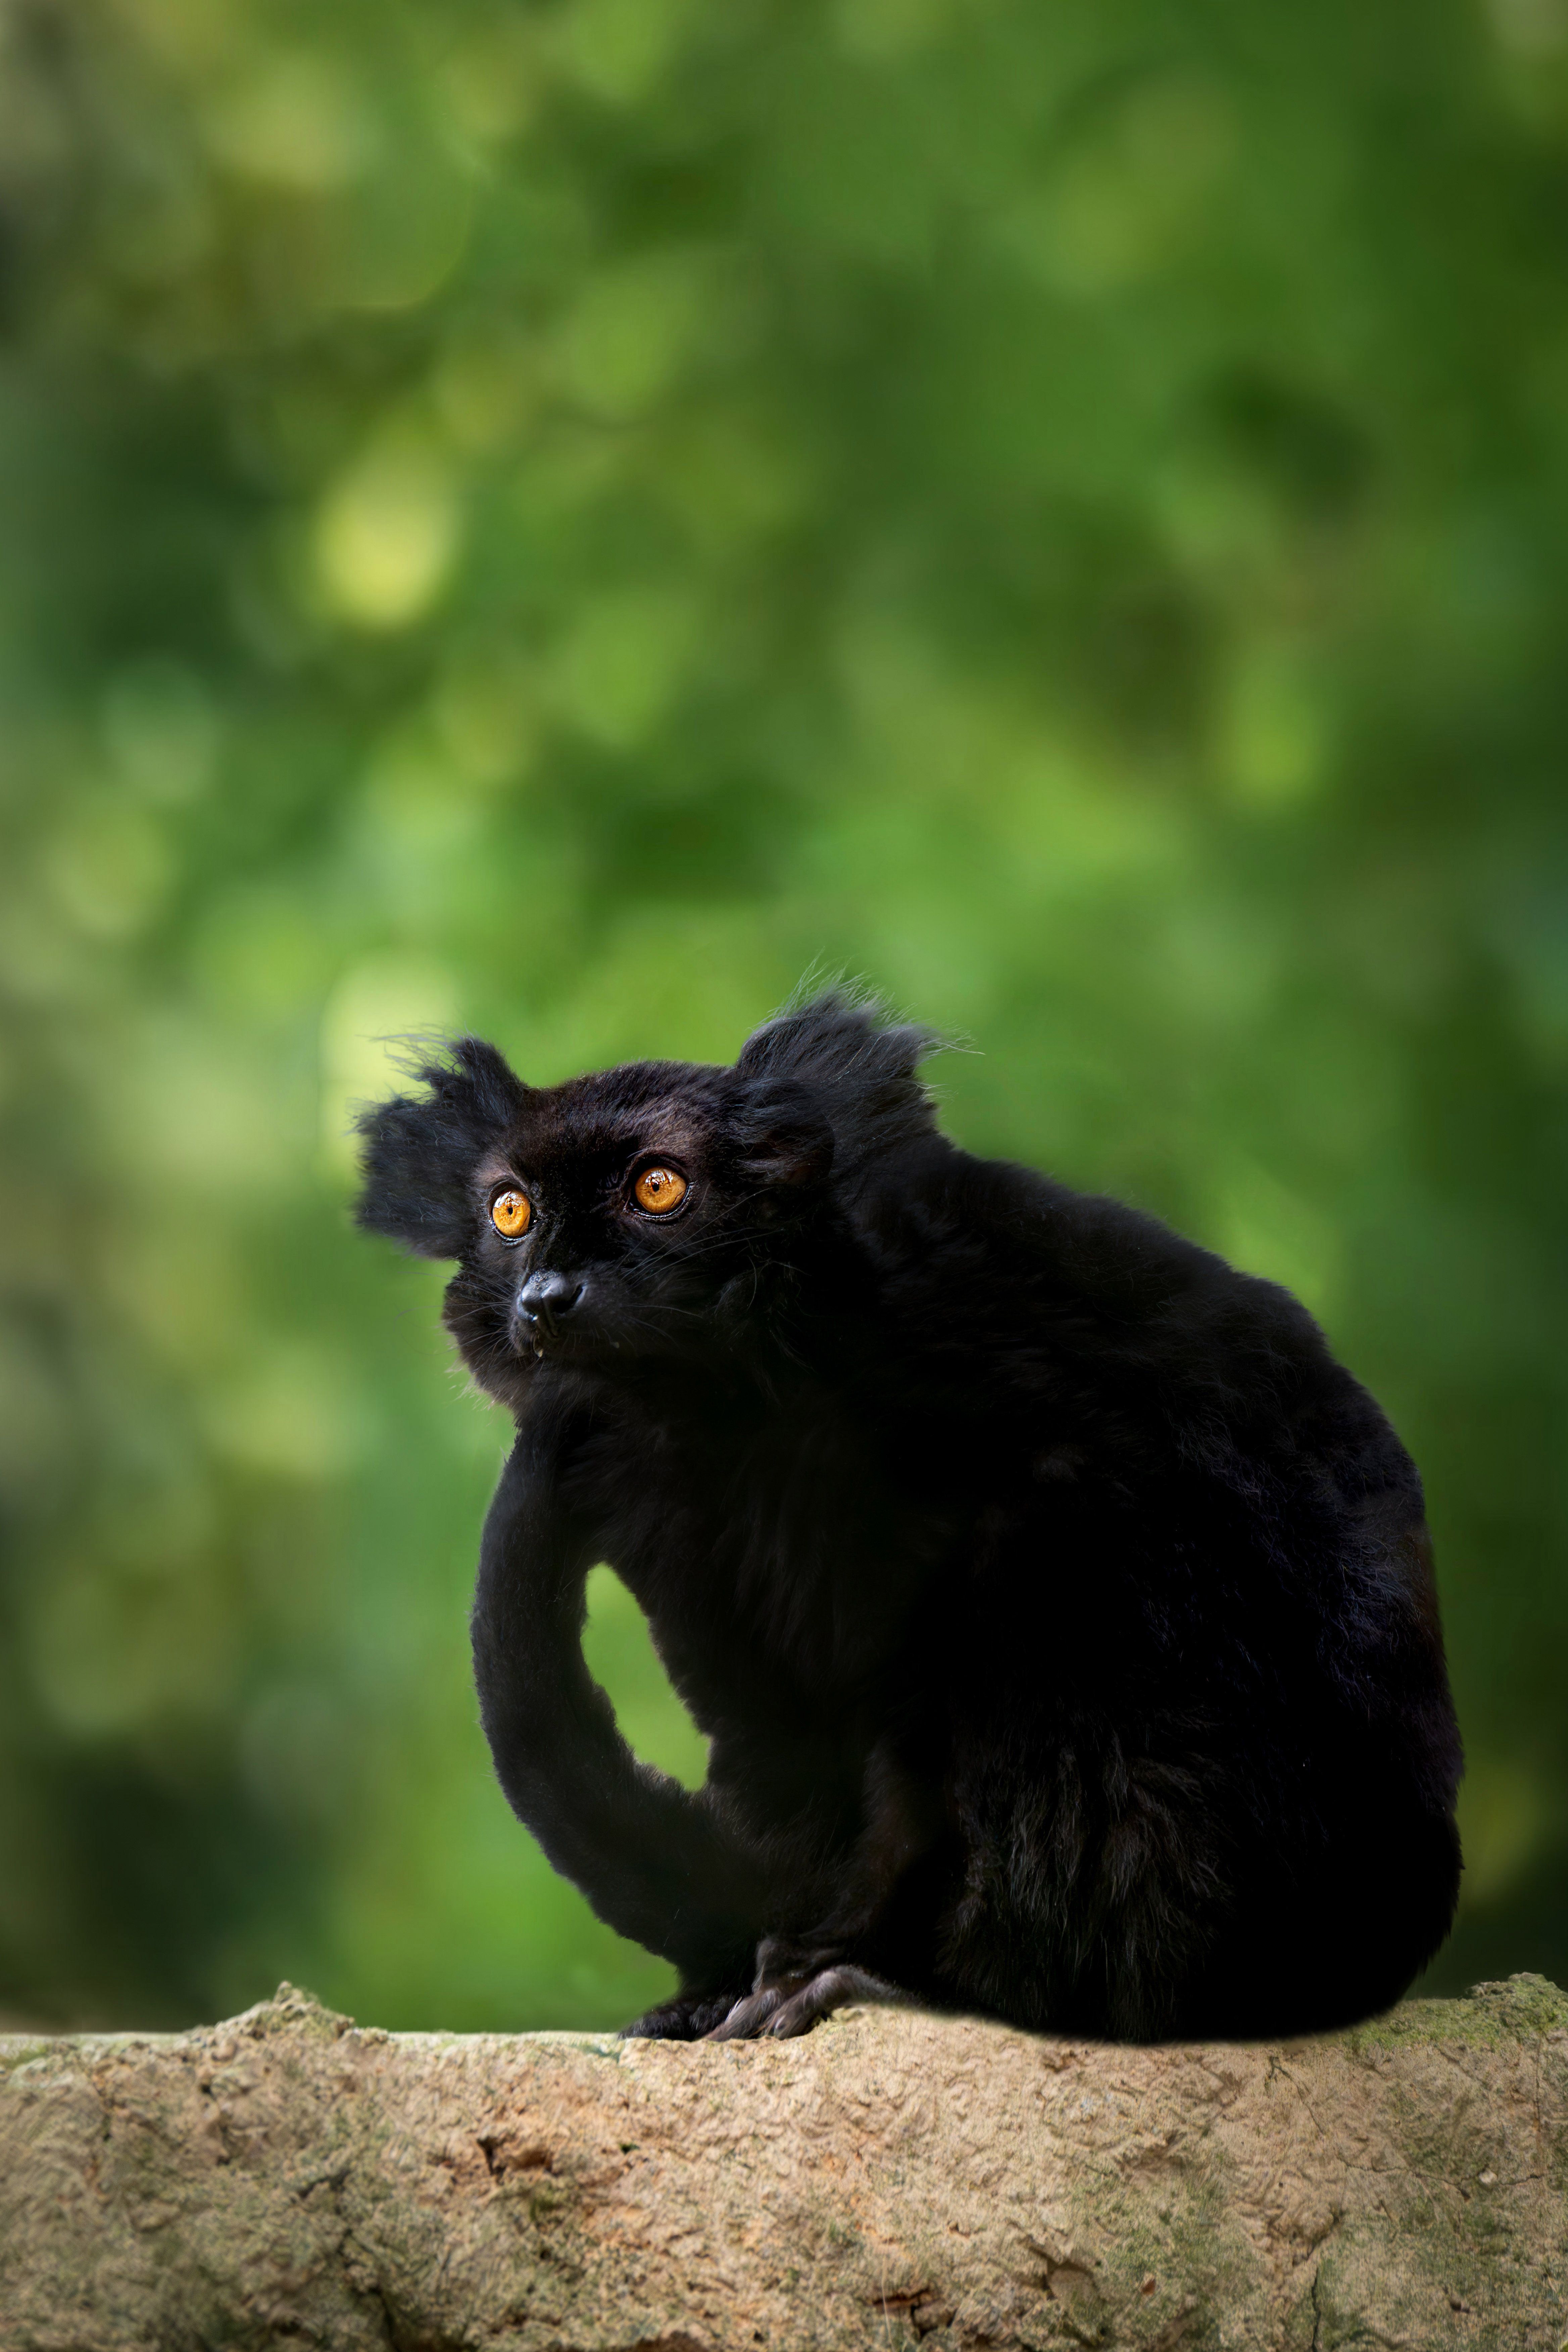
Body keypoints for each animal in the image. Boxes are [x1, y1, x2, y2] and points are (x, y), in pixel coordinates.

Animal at [355, 991, 1462, 2043]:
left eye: (658, 1188)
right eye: (510, 1210)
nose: (548, 1297)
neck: (745, 1379)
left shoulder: (948, 1320)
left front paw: (843, 1960)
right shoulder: (664, 1502)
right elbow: (782, 1723)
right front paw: (730, 1979)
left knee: (1060, 1545)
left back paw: (968, 1986)